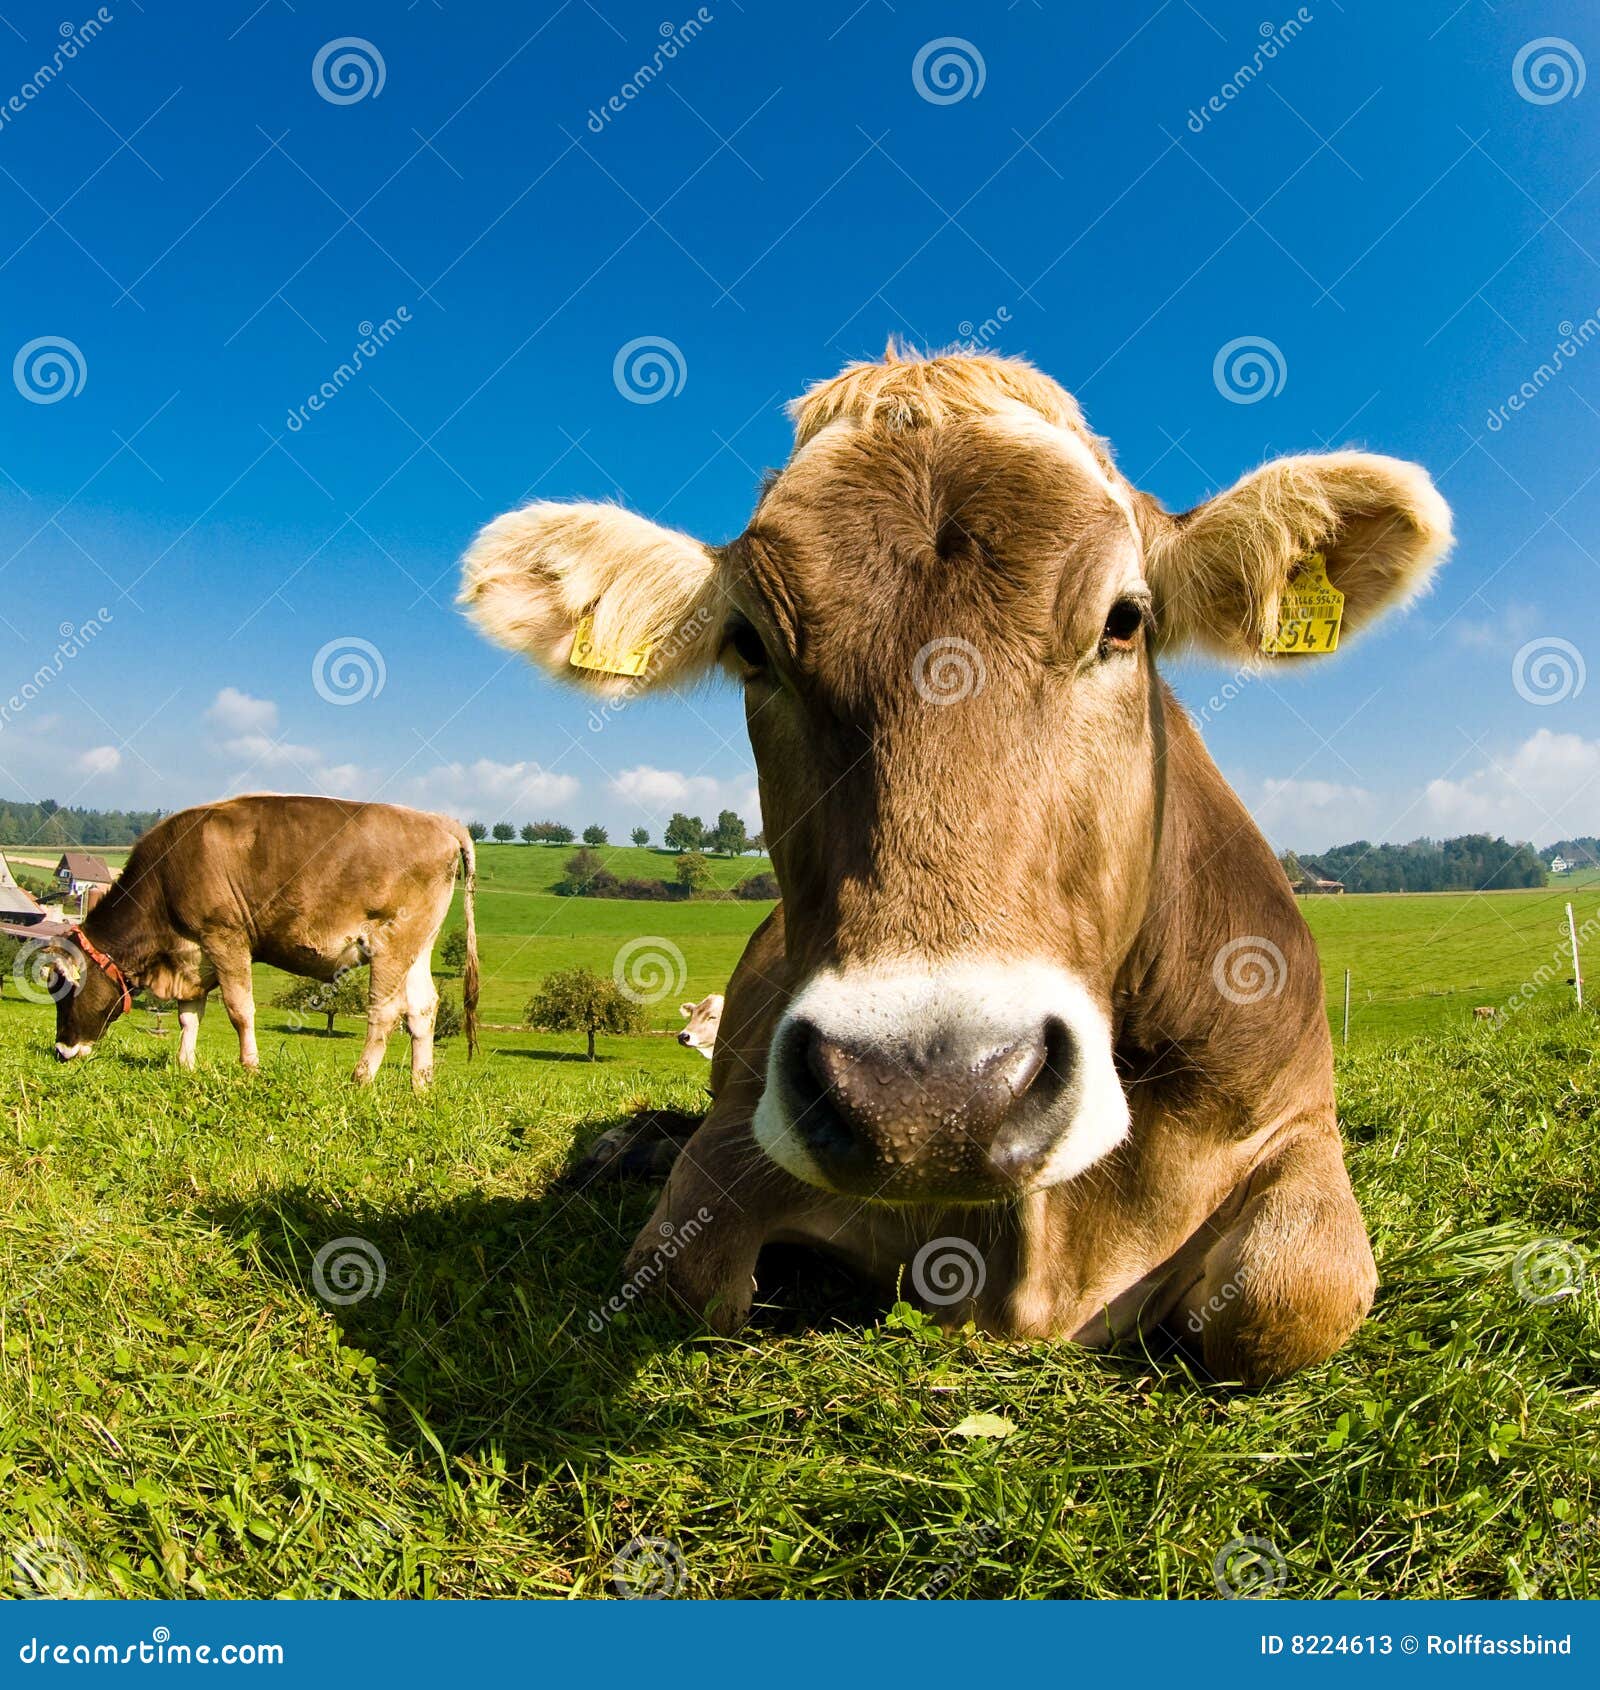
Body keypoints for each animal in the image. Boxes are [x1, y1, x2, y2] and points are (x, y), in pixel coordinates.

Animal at [32, 794, 478, 1087]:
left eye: (62, 990)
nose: (61, 1051)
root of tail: (439, 821)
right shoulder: (194, 953)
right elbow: (188, 1014)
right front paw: (185, 1065)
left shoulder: (224, 937)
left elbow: (239, 1010)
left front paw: (249, 1067)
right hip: (418, 944)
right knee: (422, 1008)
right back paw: (420, 1086)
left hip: (390, 944)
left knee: (385, 1011)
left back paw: (361, 1078)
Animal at [459, 346, 1452, 1385]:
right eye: (751, 645)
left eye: (1125, 620)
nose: (930, 1097)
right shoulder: (747, 1133)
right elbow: (684, 1269)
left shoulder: (1298, 1126)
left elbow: (1290, 1295)